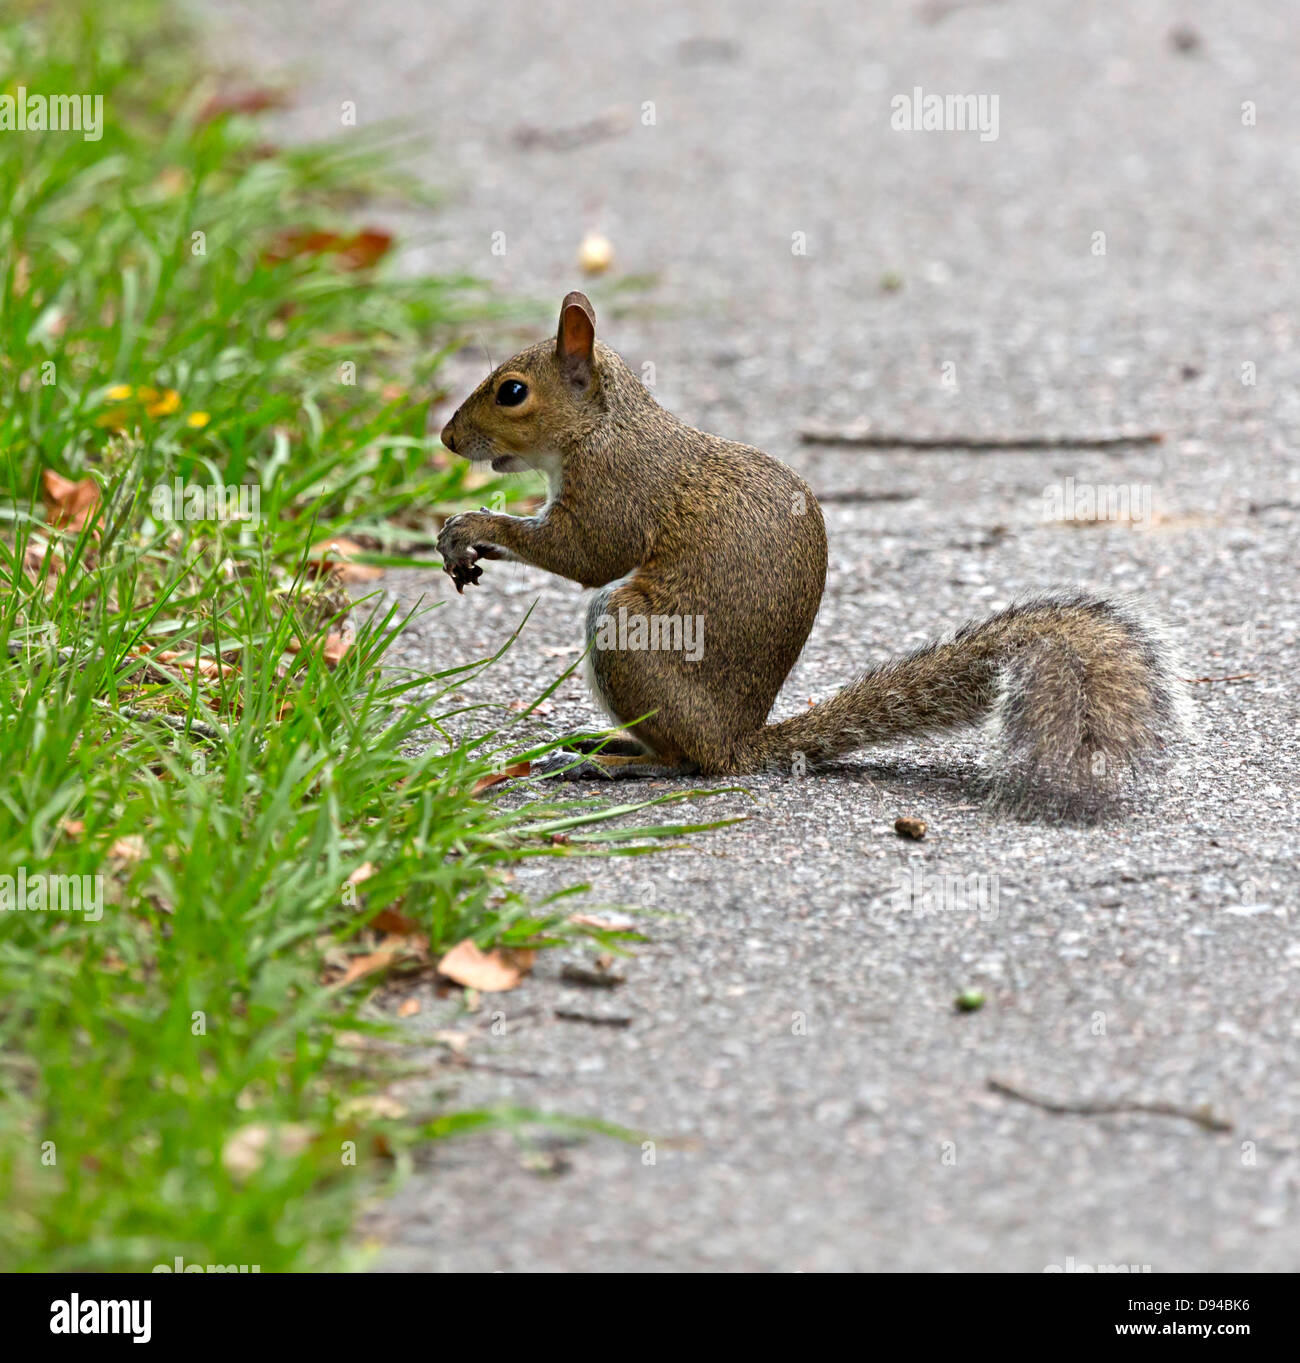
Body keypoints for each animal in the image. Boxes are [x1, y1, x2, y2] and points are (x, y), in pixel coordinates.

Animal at [436, 291, 1192, 819]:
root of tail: (739, 739)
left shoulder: (618, 488)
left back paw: (621, 764)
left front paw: (471, 525)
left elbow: (585, 554)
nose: (445, 439)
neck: (605, 425)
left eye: (512, 391)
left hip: (629, 630)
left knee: (690, 763)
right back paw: (604, 744)